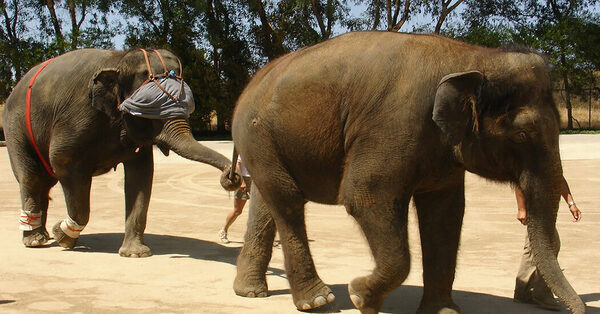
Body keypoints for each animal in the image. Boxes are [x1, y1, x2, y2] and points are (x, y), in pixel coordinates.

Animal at [3, 47, 241, 258]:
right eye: (152, 111)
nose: (231, 176)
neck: (120, 59)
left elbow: (141, 174)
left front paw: (135, 254)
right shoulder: (76, 117)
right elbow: (62, 160)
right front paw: (63, 236)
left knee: (43, 182)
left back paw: (42, 235)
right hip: (15, 127)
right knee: (31, 178)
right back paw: (36, 240)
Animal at [227, 31, 584, 314]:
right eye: (522, 134)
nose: (575, 309)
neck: (472, 56)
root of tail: (248, 87)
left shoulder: (442, 153)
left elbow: (445, 214)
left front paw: (442, 312)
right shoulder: (392, 125)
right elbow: (364, 196)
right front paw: (360, 296)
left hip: (263, 142)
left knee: (267, 201)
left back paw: (251, 292)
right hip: (257, 133)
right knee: (287, 200)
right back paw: (318, 302)